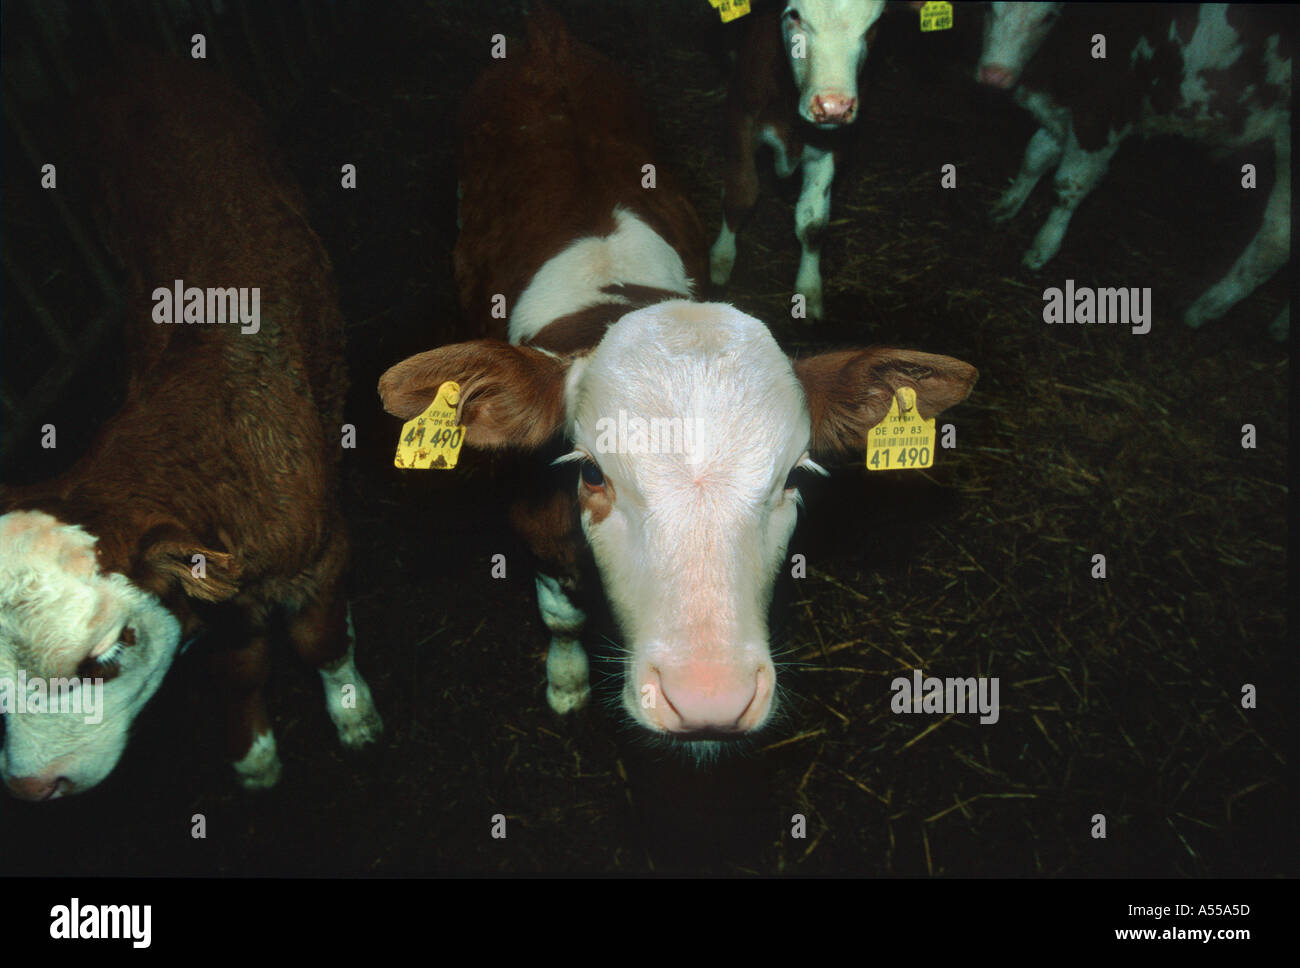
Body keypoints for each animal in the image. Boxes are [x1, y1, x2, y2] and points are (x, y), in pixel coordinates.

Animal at [0, 57, 382, 800]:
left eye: (100, 658)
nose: (30, 789)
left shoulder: (323, 553)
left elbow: (320, 643)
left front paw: (354, 717)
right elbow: (238, 667)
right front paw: (254, 754)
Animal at [709, 0, 891, 321]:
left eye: (876, 22)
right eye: (794, 14)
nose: (833, 106)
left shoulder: (836, 140)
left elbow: (812, 221)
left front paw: (809, 288)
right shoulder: (740, 113)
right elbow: (740, 194)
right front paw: (721, 260)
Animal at [977, 2, 1291, 339]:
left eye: (1049, 16)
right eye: (988, 8)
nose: (994, 75)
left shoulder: (1103, 114)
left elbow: (1068, 185)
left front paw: (1042, 248)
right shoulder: (1066, 110)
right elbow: (1034, 156)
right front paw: (1005, 208)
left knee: (1277, 239)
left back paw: (1201, 310)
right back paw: (1280, 326)